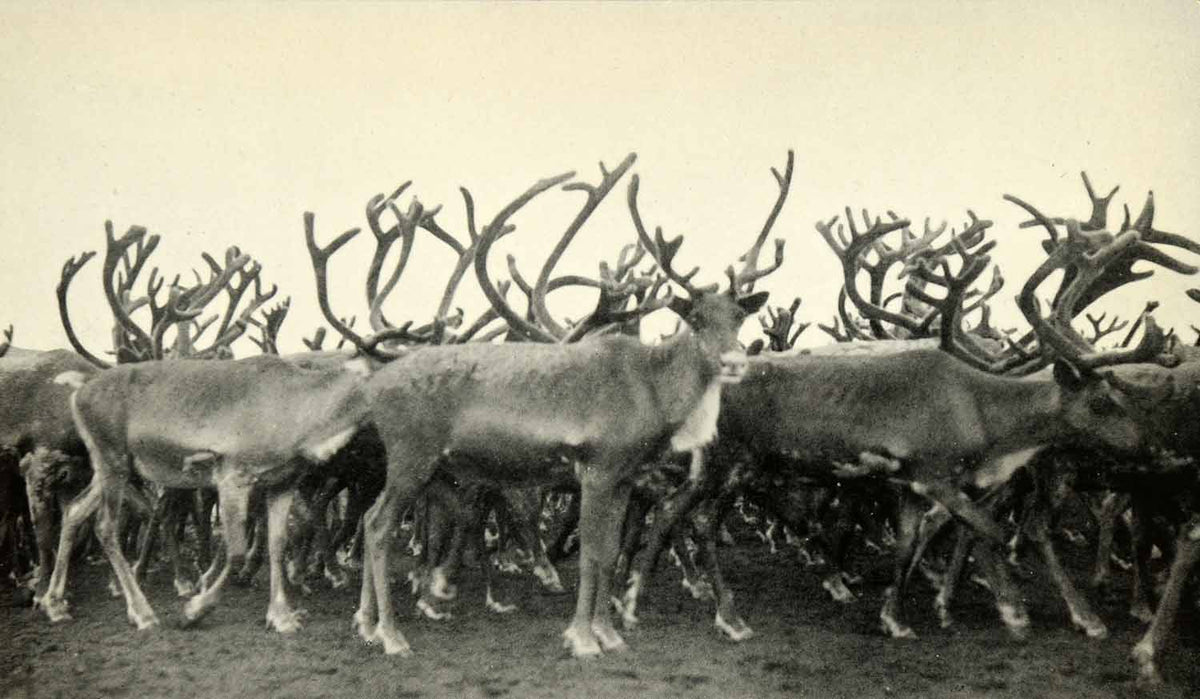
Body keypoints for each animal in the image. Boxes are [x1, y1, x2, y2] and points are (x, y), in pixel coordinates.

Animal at [307, 154, 771, 658]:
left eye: (739, 316)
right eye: (697, 318)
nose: (734, 362)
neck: (652, 389)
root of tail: (377, 381)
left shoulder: (625, 475)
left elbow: (610, 554)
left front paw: (609, 633)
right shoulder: (597, 467)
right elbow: (590, 556)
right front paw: (583, 638)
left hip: (421, 466)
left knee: (373, 518)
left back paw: (368, 624)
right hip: (412, 456)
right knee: (377, 525)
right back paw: (392, 634)